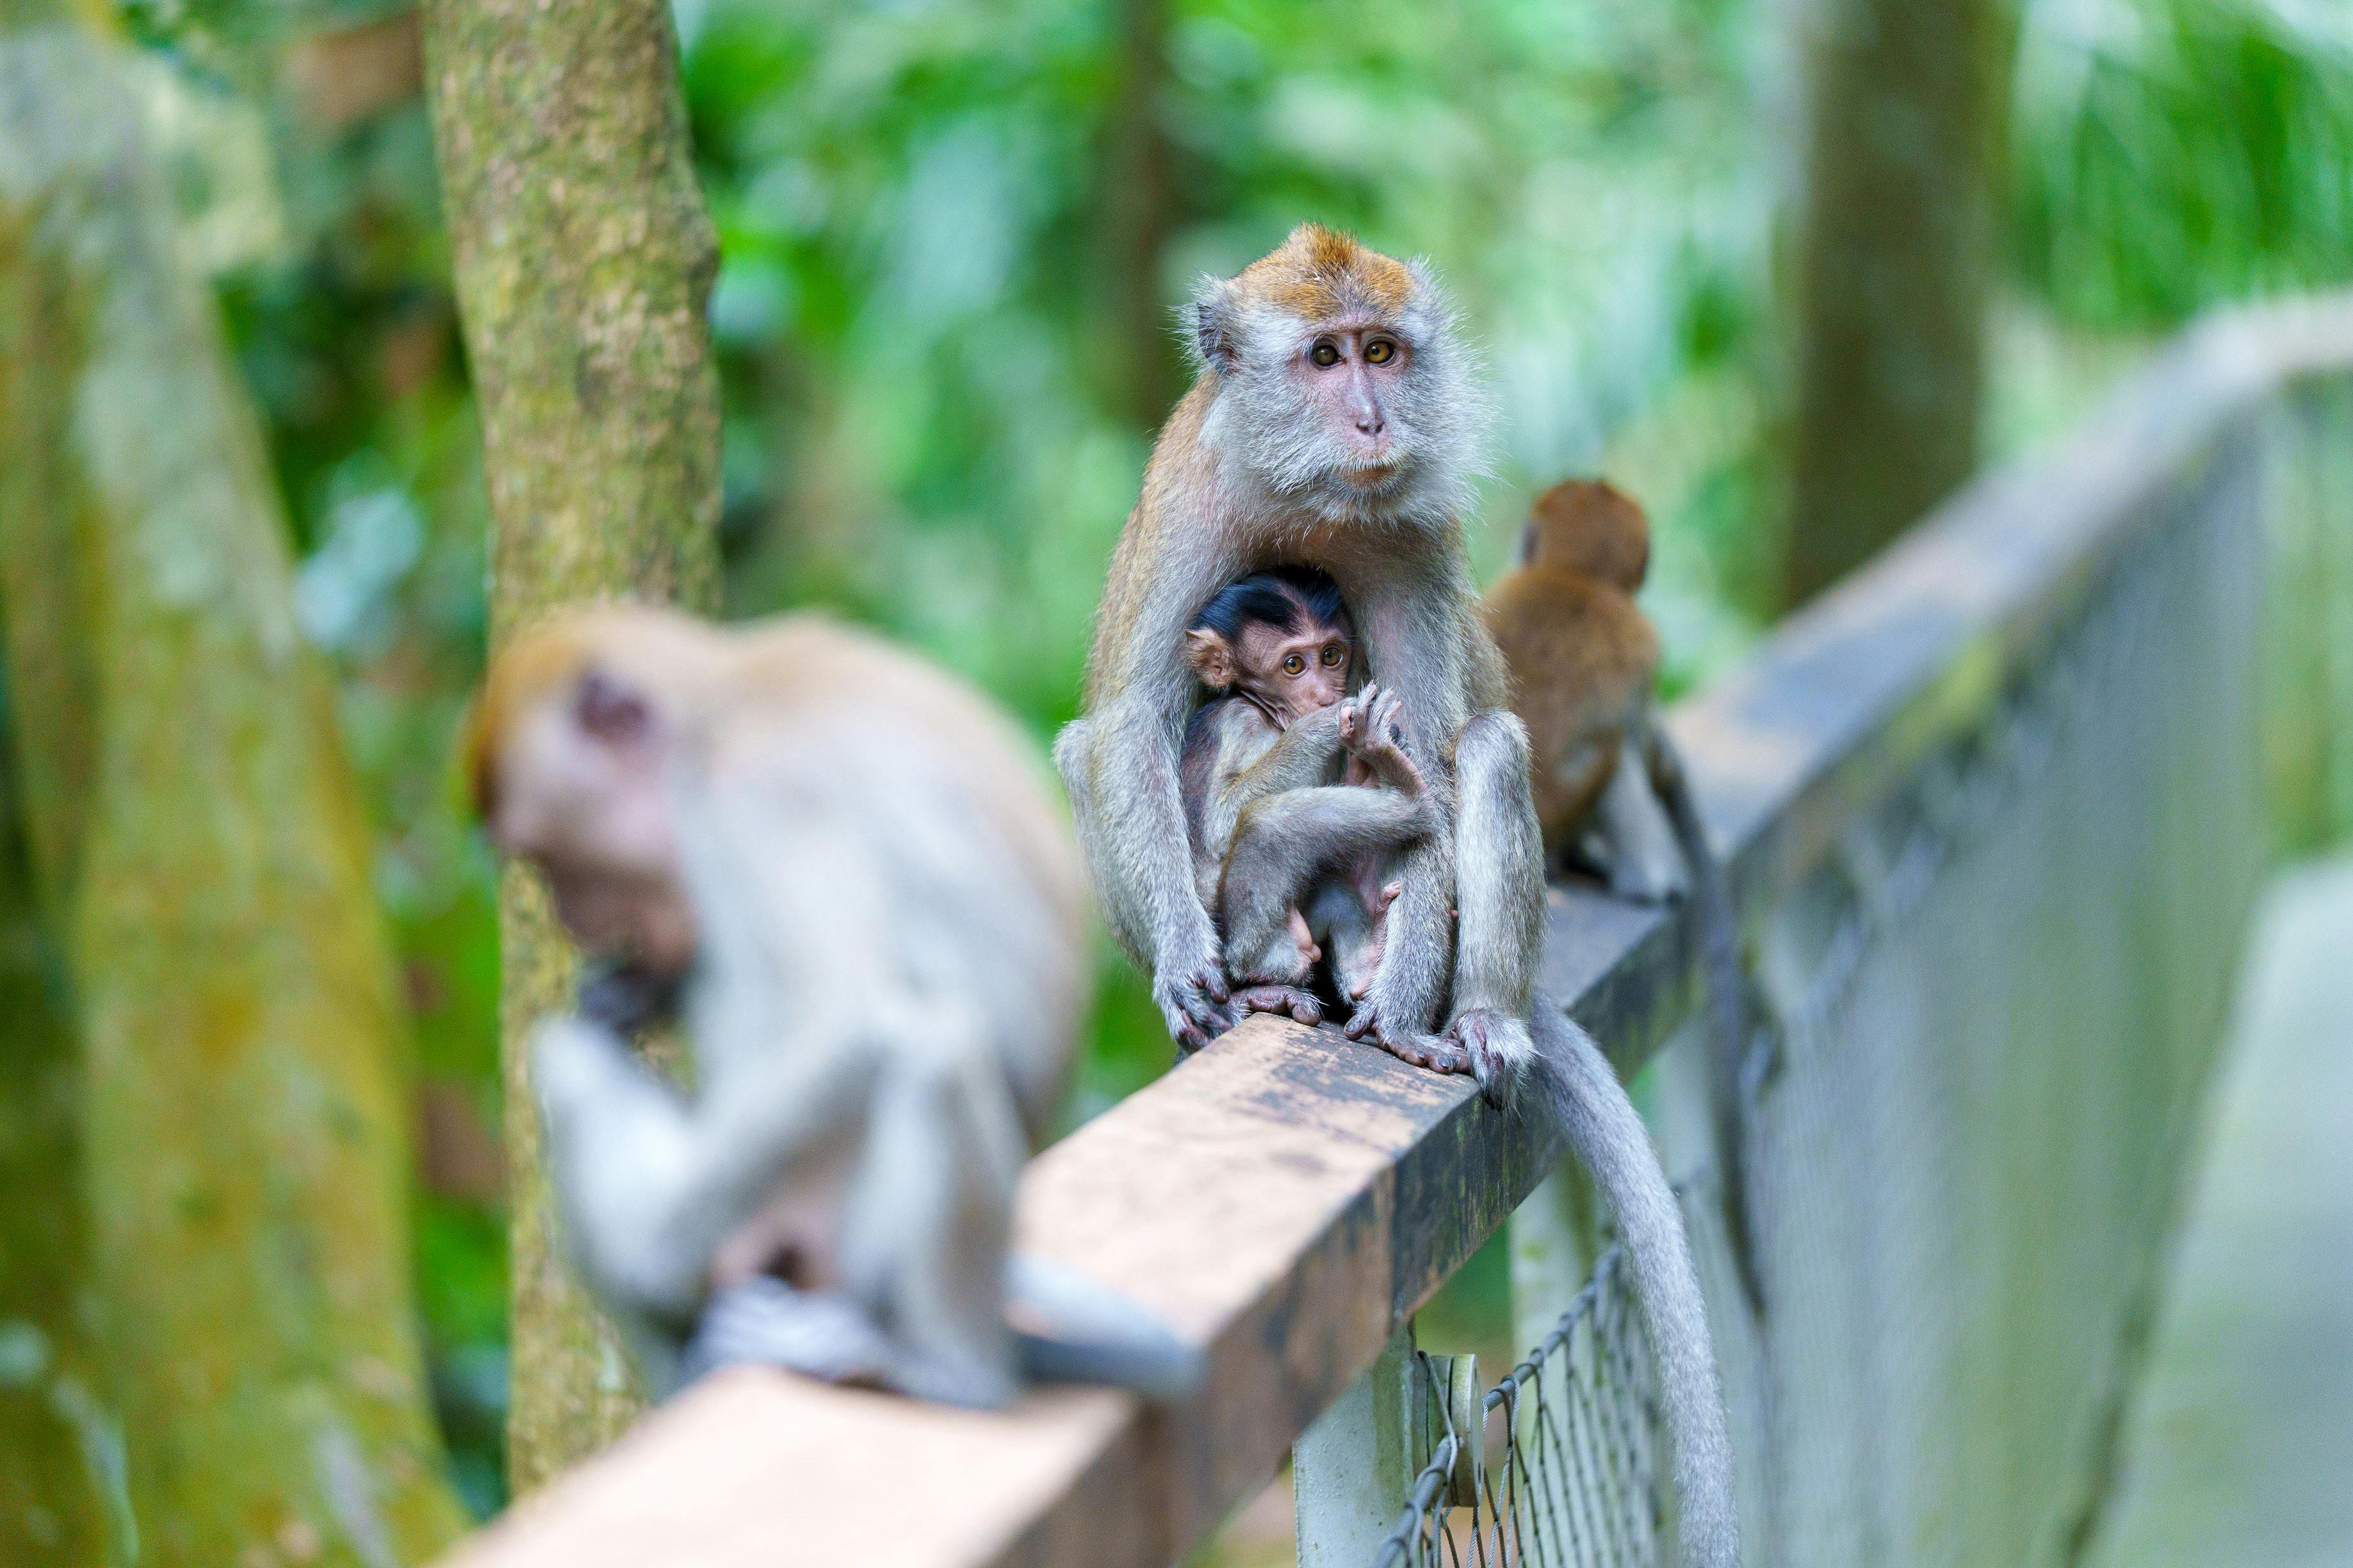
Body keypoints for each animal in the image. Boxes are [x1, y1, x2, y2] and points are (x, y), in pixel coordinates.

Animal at [466, 603, 1198, 1409]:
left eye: (551, 860)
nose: (570, 918)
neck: (715, 711)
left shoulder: (764, 803)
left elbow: (849, 1015)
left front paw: (649, 1255)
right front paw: (622, 993)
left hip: (844, 1236)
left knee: (932, 1048)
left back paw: (949, 1371)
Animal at [1173, 566, 1447, 1057]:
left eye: (1332, 655)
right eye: (1294, 665)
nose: (1325, 694)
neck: (1269, 714)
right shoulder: (1237, 723)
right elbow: (1220, 825)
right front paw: (1330, 721)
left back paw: (1365, 963)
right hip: (1239, 940)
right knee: (1264, 825)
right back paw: (1411, 799)